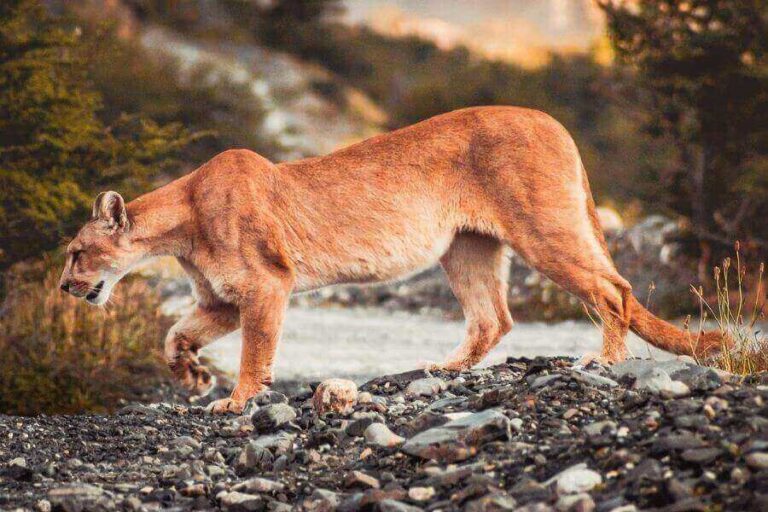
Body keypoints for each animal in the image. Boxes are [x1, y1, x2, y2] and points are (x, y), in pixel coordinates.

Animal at [59, 107, 729, 413]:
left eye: (76, 253)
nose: (65, 288)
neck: (184, 219)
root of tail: (551, 119)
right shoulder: (222, 298)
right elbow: (175, 333)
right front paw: (194, 376)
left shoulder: (266, 285)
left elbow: (255, 349)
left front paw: (237, 399)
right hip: (465, 247)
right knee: (495, 317)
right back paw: (445, 368)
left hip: (543, 230)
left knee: (613, 290)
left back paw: (603, 360)